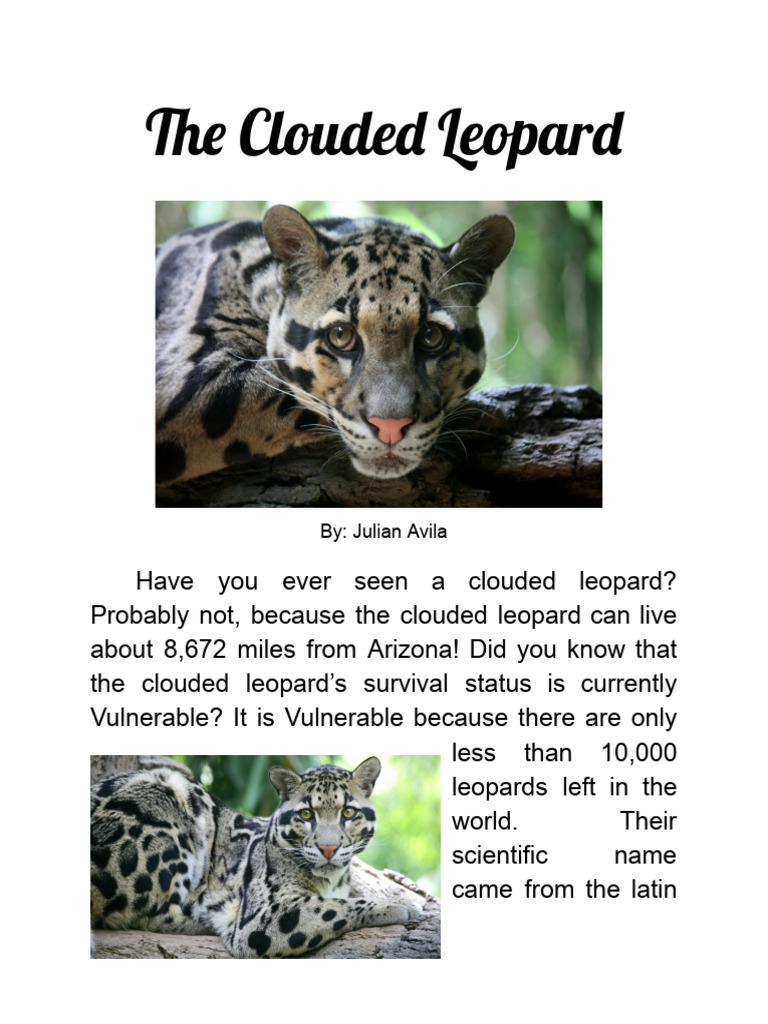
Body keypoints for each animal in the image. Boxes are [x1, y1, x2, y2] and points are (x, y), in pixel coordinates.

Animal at [90, 757, 421, 958]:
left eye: (348, 812)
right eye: (306, 814)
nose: (328, 848)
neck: (331, 878)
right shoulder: (259, 918)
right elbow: (331, 906)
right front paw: (399, 904)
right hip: (166, 792)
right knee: (144, 914)